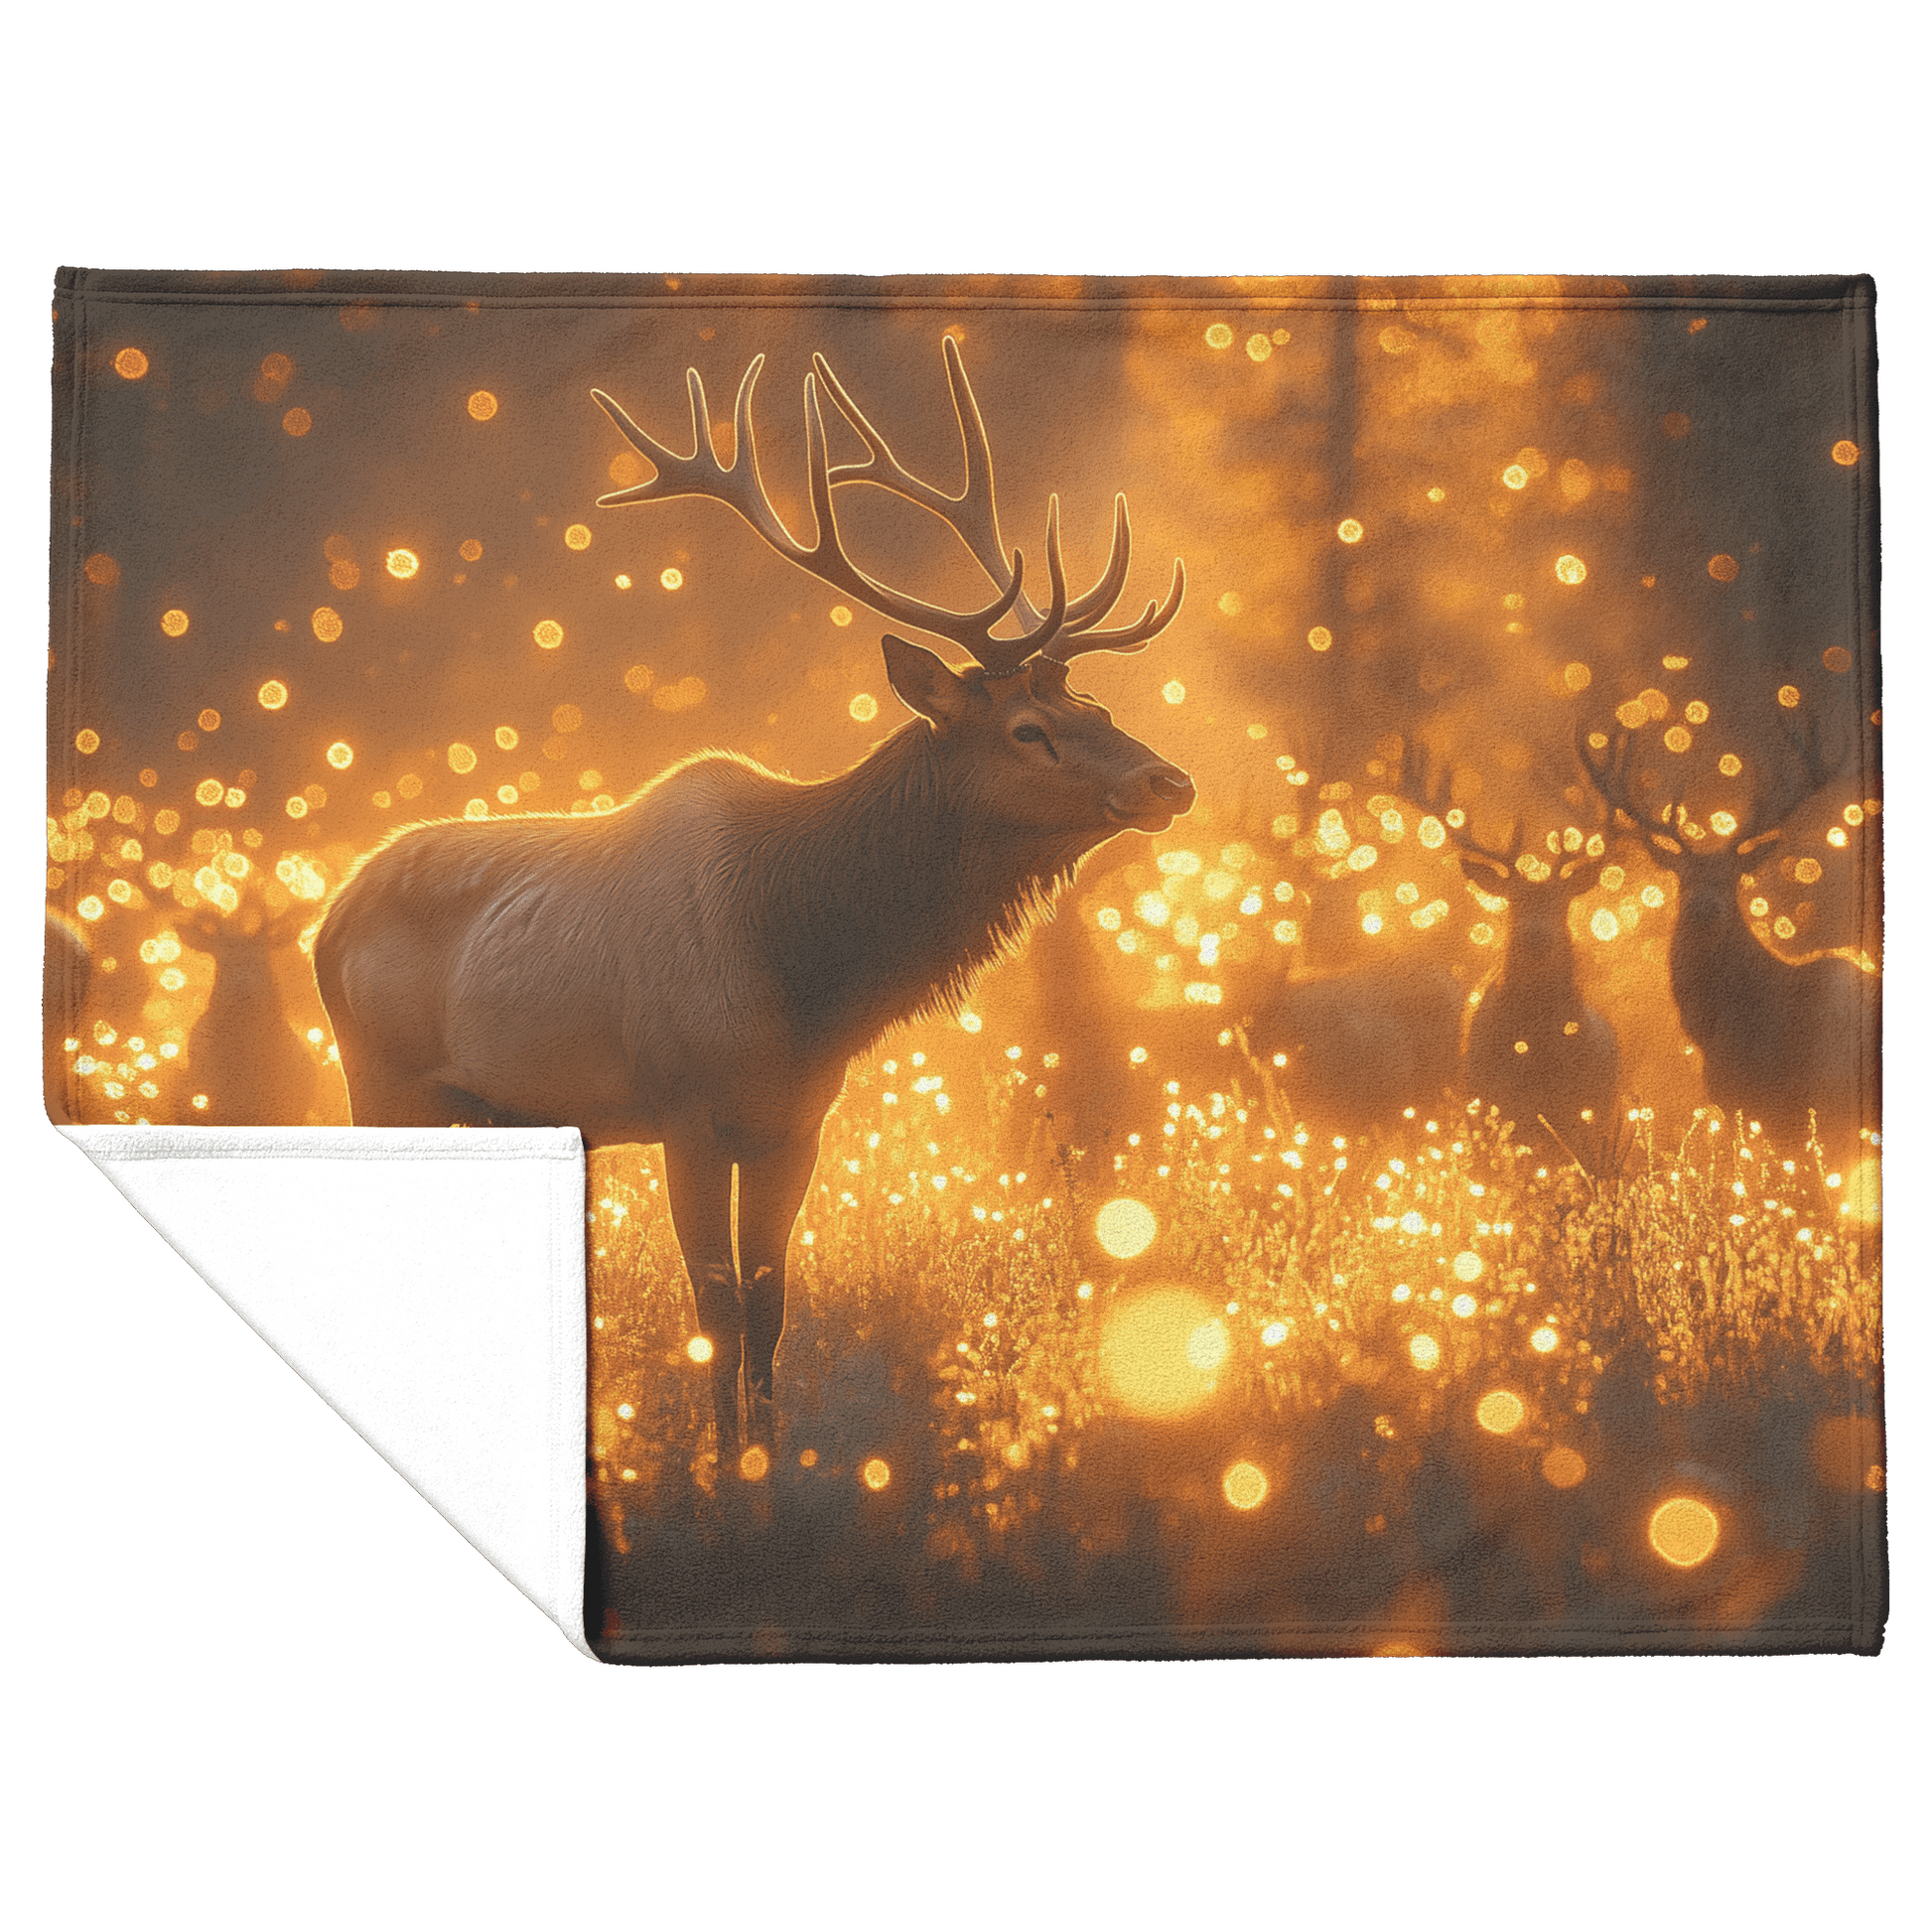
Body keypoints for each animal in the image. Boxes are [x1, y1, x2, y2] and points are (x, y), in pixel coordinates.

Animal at [313, 337, 1194, 1454]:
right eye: (1026, 730)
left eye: (1097, 706)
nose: (1170, 780)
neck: (802, 978)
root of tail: (326, 916)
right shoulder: (683, 1108)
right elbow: (717, 1307)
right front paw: (716, 1465)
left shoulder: (796, 1121)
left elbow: (774, 1302)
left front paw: (766, 1464)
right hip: (379, 1075)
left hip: (483, 1109)